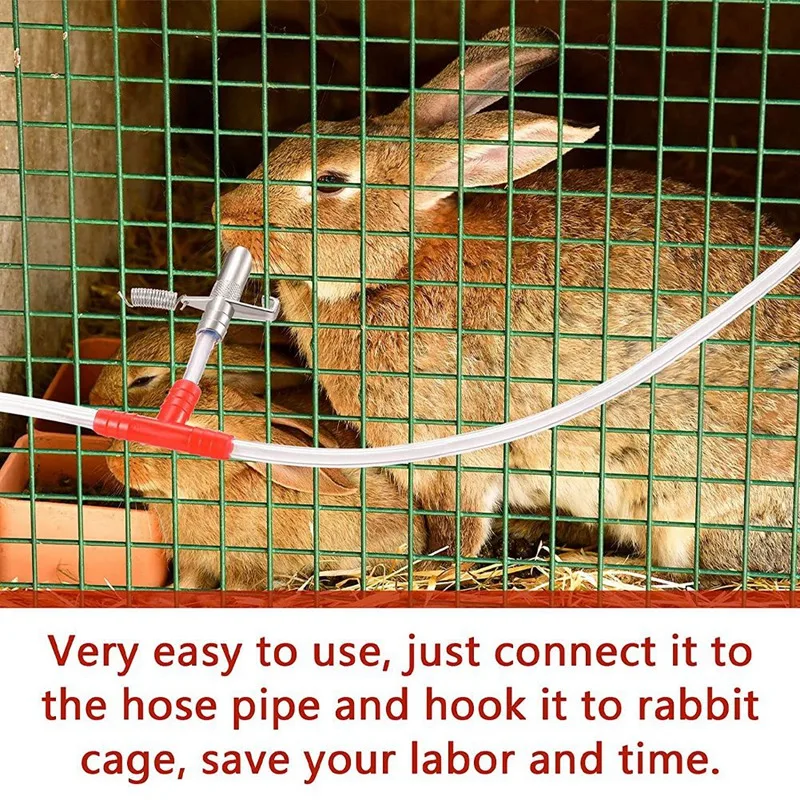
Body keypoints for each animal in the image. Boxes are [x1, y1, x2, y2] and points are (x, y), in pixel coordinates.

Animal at [215, 25, 800, 584]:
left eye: (330, 182)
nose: (225, 218)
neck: (394, 270)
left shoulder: (453, 453)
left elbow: (460, 527)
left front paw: (432, 569)